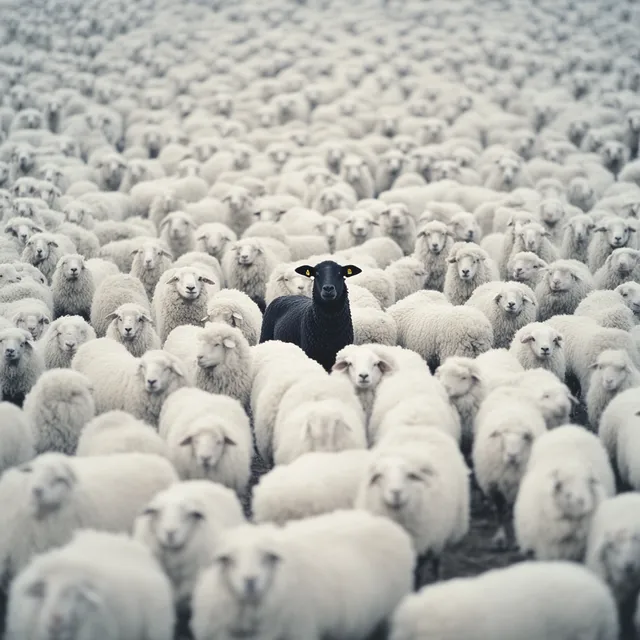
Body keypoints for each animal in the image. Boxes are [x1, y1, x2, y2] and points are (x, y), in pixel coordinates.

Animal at [190, 510, 414, 640]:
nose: (250, 580)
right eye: (228, 559)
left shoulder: (298, 629)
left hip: (389, 609)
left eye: (268, 557)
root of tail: (387, 523)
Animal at [357, 428, 470, 586]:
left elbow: (418, 573)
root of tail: (419, 427)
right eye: (380, 476)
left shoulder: (422, 544)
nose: (396, 492)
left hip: (441, 534)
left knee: (437, 559)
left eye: (411, 475)